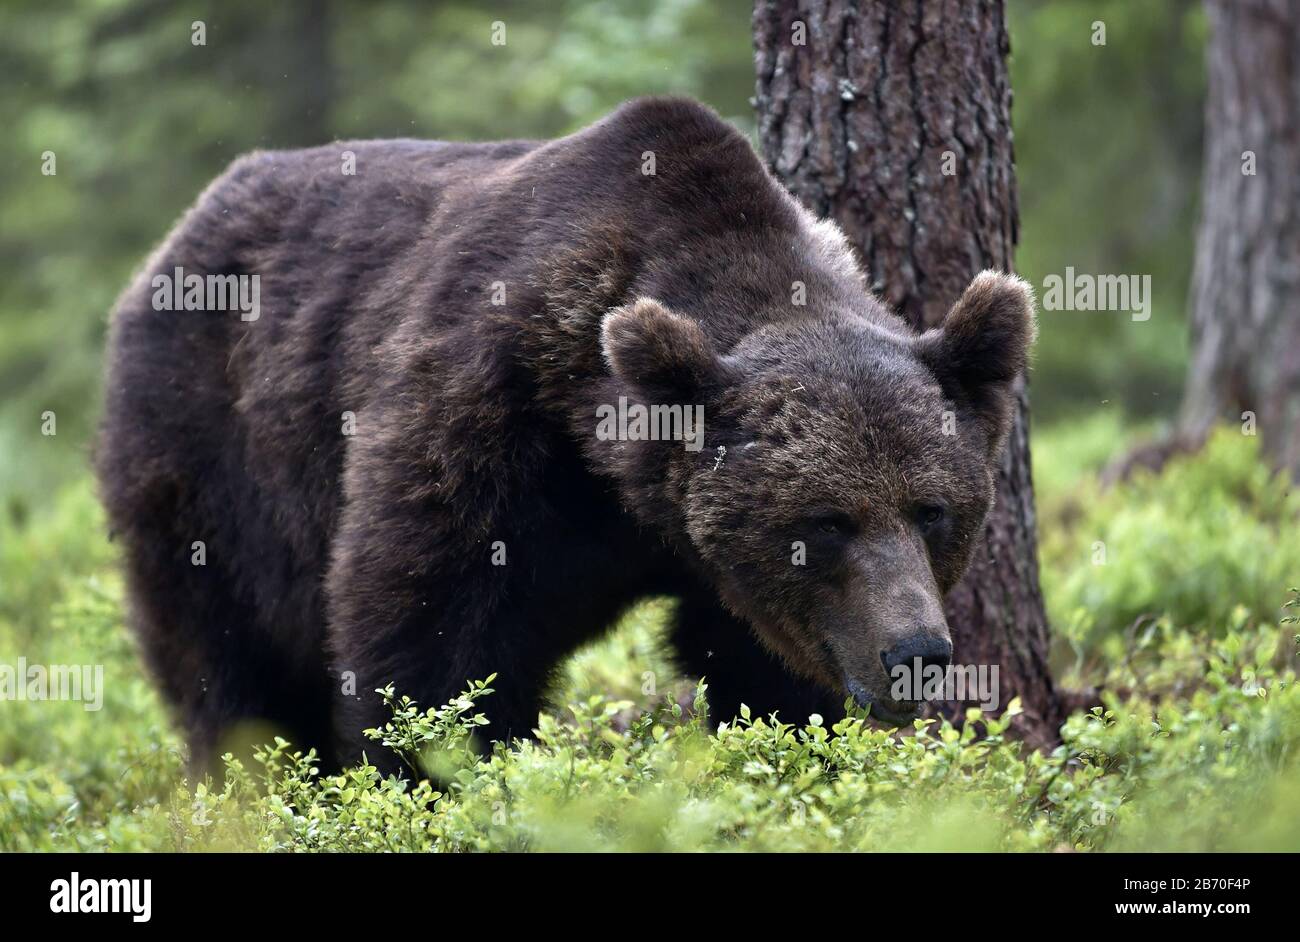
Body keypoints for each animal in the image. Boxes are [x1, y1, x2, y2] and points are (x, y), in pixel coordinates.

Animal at [96, 97, 1035, 776]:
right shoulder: (482, 427)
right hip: (209, 461)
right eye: (825, 521)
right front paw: (431, 777)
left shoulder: (715, 558)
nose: (915, 653)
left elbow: (760, 673)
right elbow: (428, 645)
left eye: (933, 510)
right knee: (230, 661)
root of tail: (169, 244)